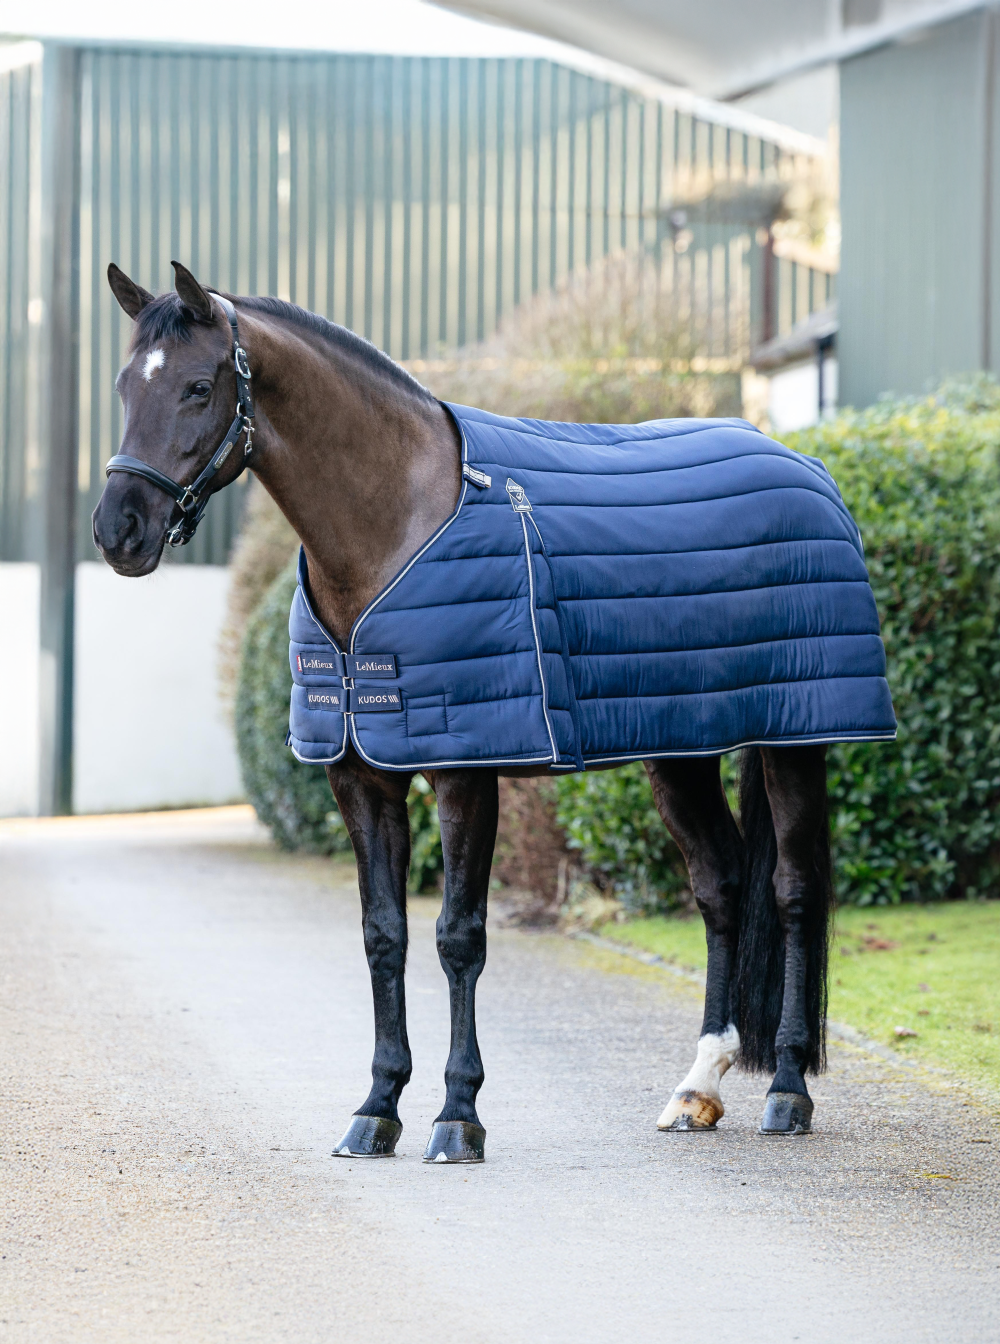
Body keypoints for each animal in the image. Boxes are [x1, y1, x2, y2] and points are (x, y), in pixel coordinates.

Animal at [94, 260, 892, 1162]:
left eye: (199, 386)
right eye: (125, 385)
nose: (119, 530)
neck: (396, 524)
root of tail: (807, 466)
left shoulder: (464, 772)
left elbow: (458, 937)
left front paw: (456, 1115)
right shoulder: (361, 777)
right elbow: (384, 935)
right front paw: (376, 1108)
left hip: (797, 739)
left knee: (792, 893)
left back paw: (787, 1090)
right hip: (680, 750)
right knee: (720, 885)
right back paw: (698, 1086)